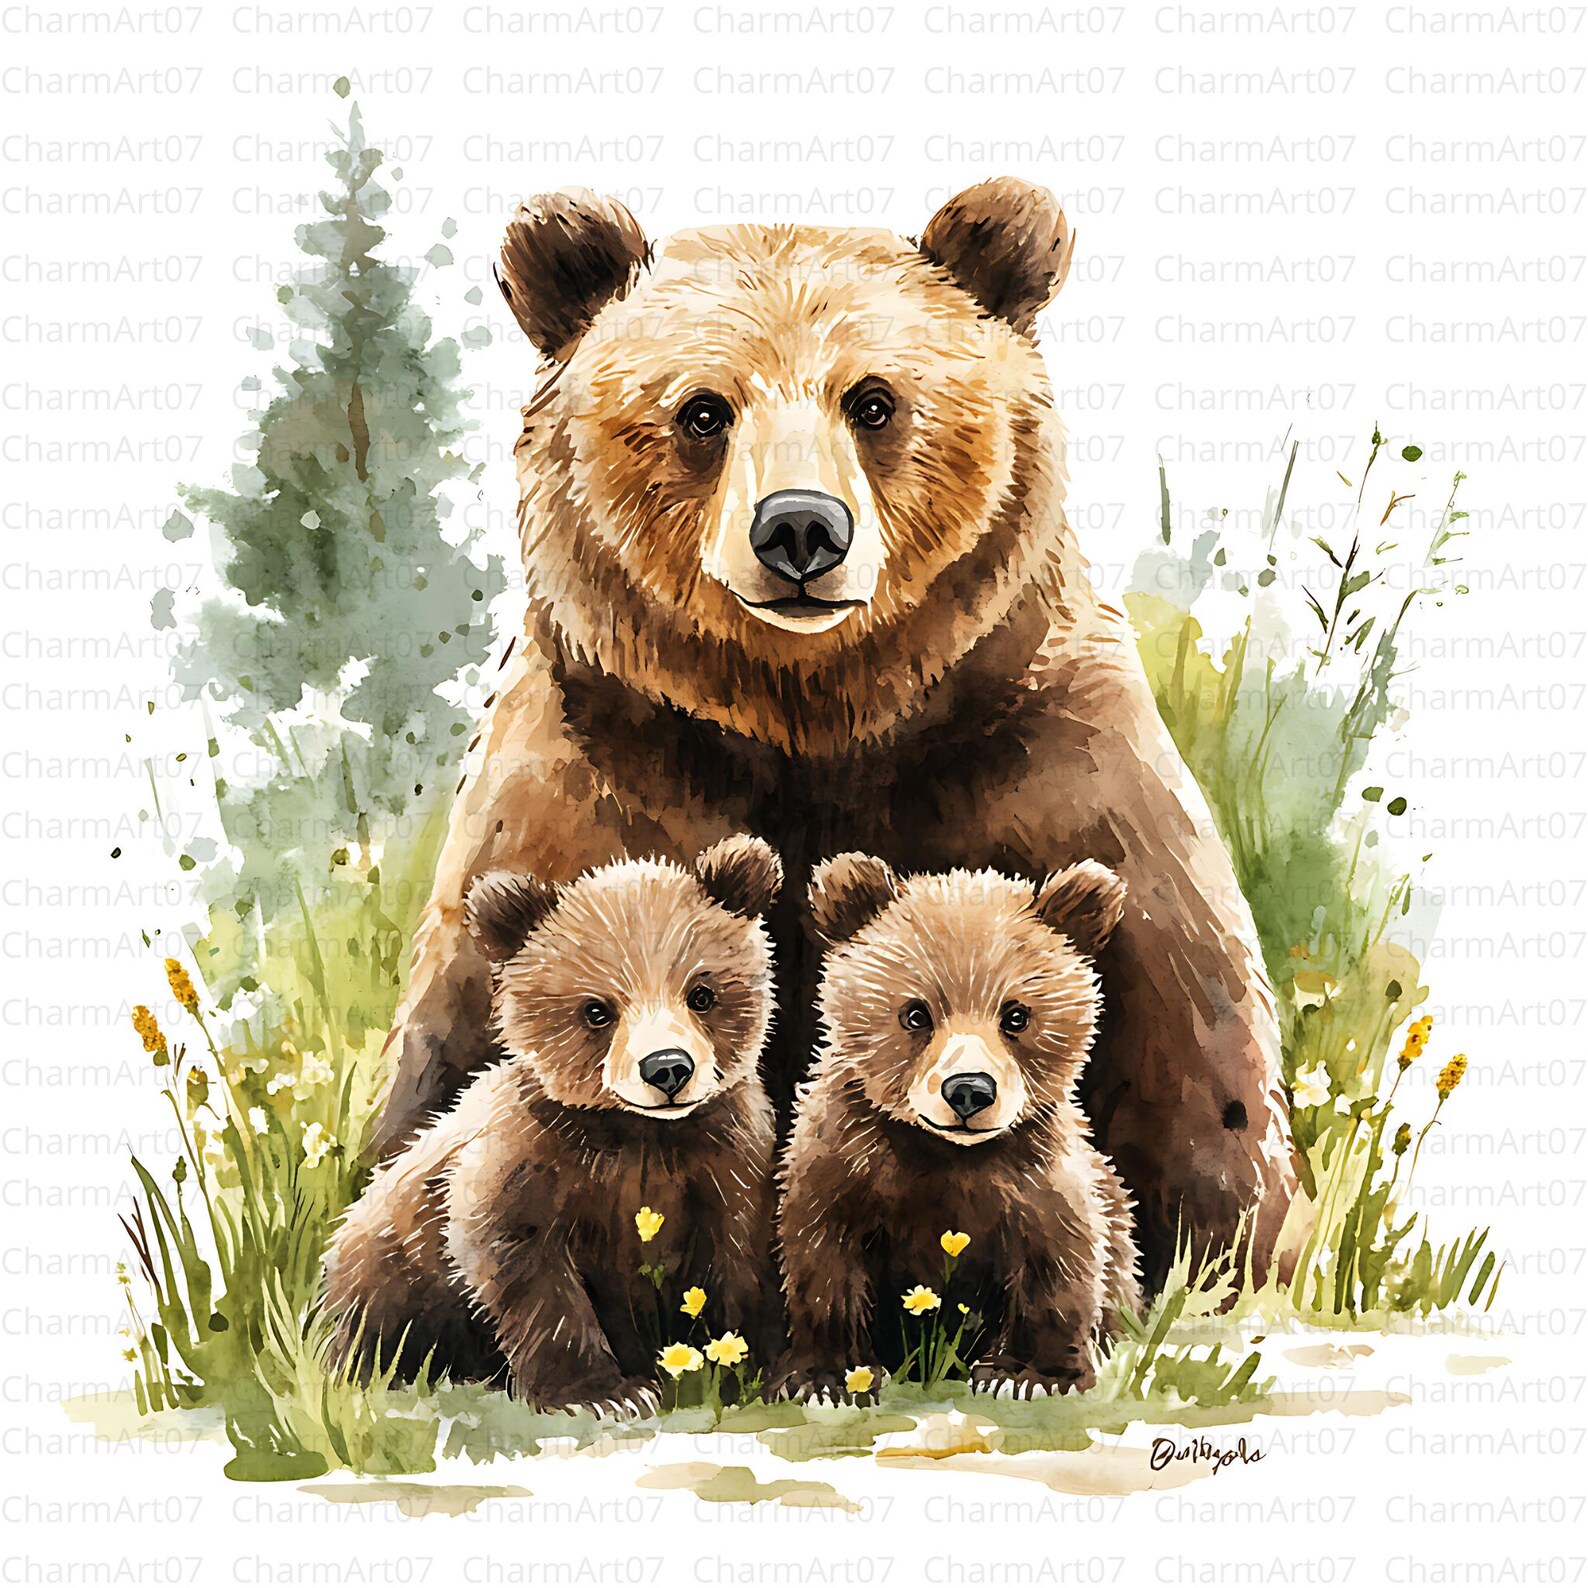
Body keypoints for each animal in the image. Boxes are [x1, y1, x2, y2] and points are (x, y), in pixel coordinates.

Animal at [325, 836, 784, 1411]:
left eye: (702, 993)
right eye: (597, 1010)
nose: (667, 1068)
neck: (639, 1134)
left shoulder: (725, 1155)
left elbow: (739, 1257)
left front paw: (753, 1365)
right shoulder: (529, 1158)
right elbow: (525, 1264)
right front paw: (604, 1393)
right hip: (385, 1262)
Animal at [368, 178, 1297, 1292]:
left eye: (874, 400)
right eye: (702, 410)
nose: (800, 528)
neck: (812, 720)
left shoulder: (1048, 762)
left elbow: (1195, 1062)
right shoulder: (593, 774)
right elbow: (463, 1054)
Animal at [775, 855, 1143, 1402]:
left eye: (1016, 1015)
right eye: (915, 1013)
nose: (969, 1090)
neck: (947, 1155)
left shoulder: (1037, 1178)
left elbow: (1059, 1262)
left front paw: (1026, 1375)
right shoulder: (846, 1162)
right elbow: (824, 1261)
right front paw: (826, 1378)